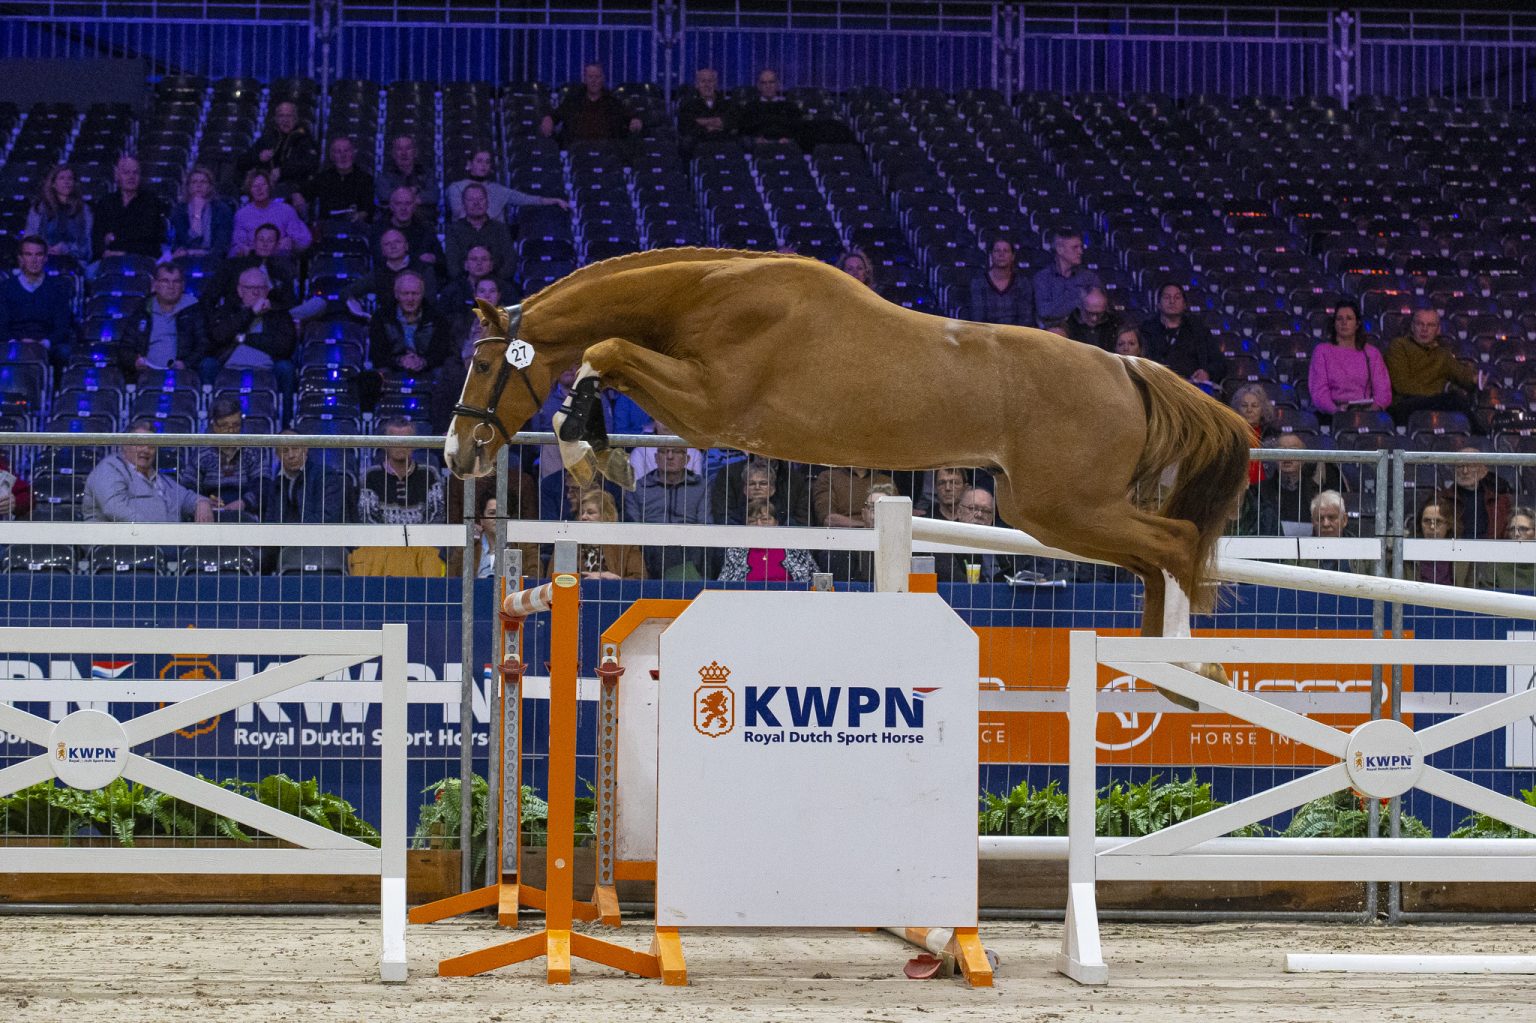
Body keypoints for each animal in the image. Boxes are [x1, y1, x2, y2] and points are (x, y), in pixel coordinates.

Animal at [445, 247, 1253, 645]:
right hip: (1053, 512)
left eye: (484, 365)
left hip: (1065, 506)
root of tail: (1129, 367)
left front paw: (590, 446)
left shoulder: (709, 407)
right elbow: (607, 358)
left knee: (1177, 543)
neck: (706, 295)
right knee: (1155, 560)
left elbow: (605, 349)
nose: (458, 453)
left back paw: (1184, 672)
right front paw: (597, 445)